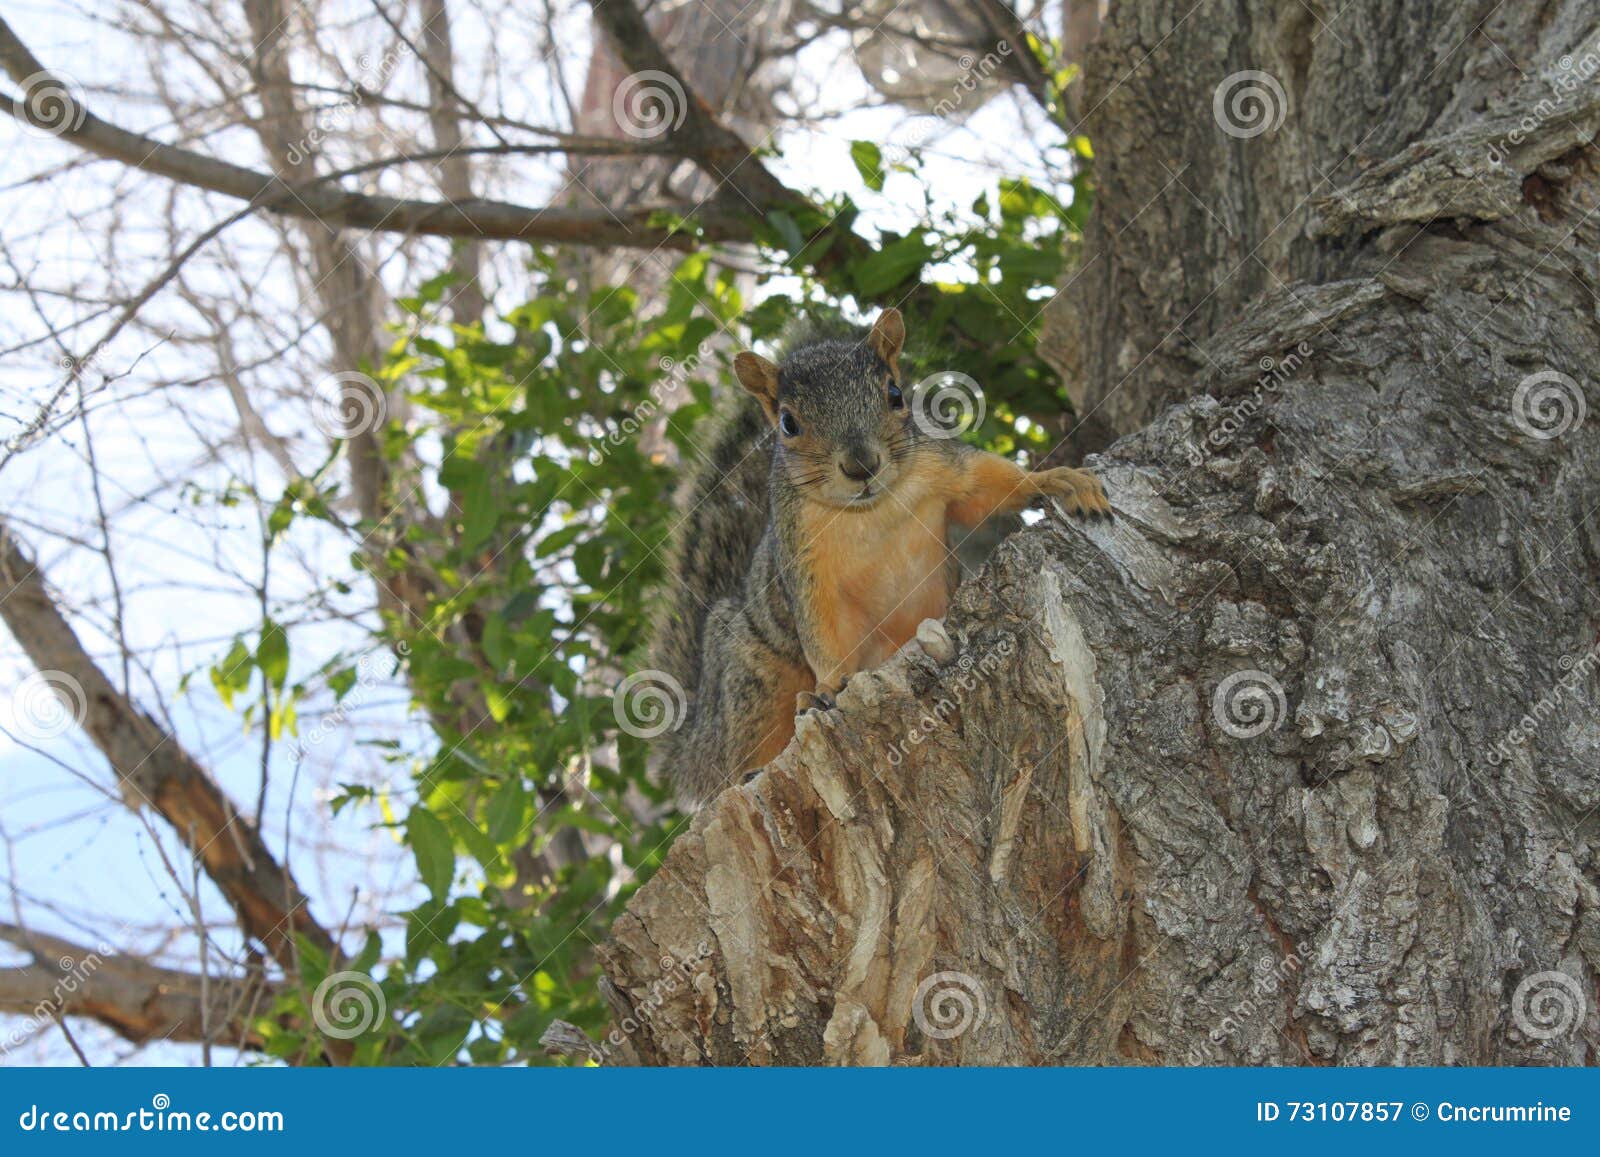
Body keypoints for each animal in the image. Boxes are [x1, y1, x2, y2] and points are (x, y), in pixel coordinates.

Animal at [650, 307, 1112, 809]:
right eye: (788, 424)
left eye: (894, 395)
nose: (861, 465)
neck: (874, 509)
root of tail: (699, 736)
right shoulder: (803, 560)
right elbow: (821, 627)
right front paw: (828, 688)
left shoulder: (944, 468)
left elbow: (992, 487)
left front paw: (1059, 480)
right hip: (753, 676)